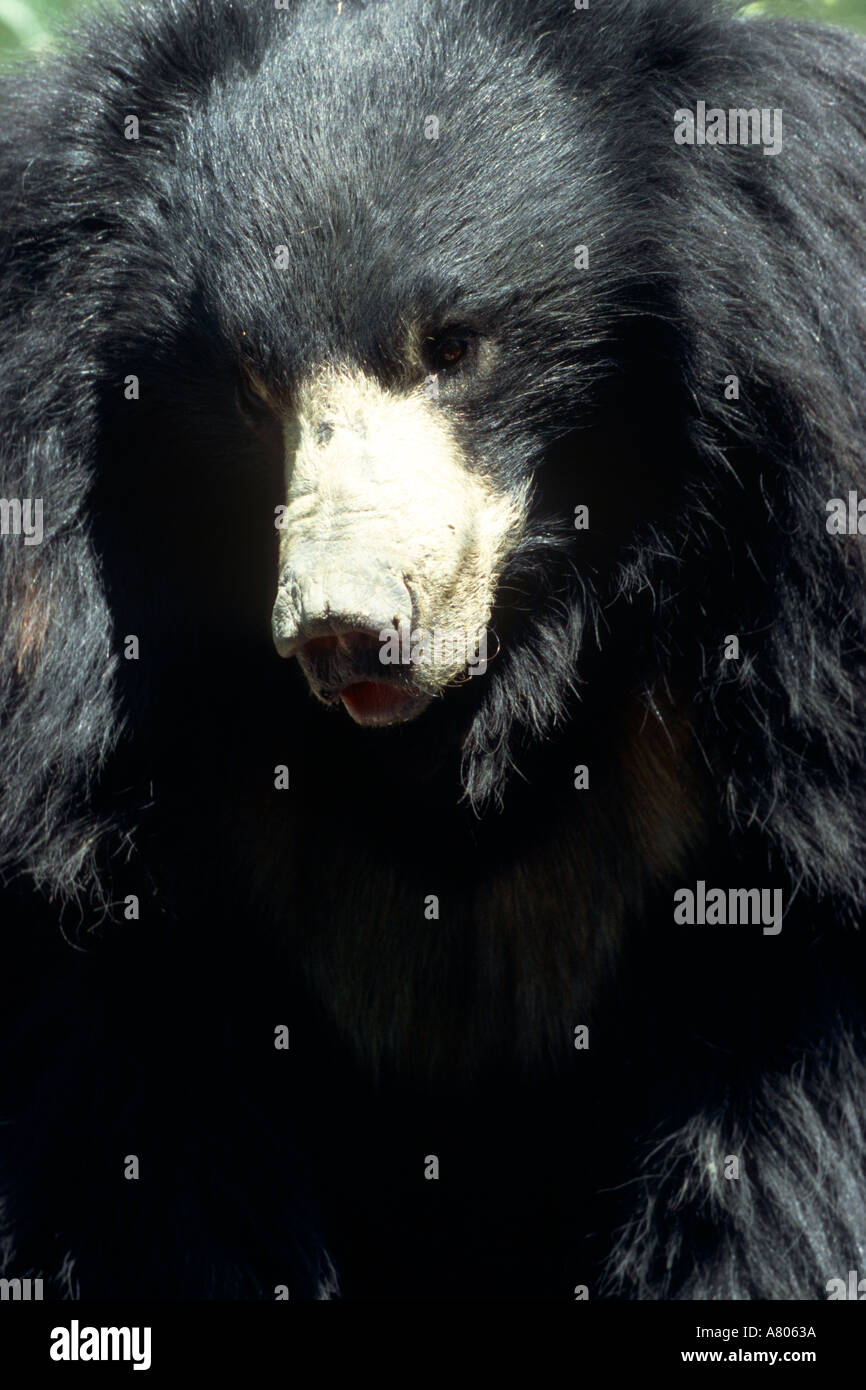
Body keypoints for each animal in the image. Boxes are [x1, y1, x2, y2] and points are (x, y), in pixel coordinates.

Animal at [1, 0, 866, 1302]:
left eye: (454, 347)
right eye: (249, 388)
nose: (346, 628)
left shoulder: (795, 663)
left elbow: (781, 1148)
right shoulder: (97, 768)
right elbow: (139, 1157)